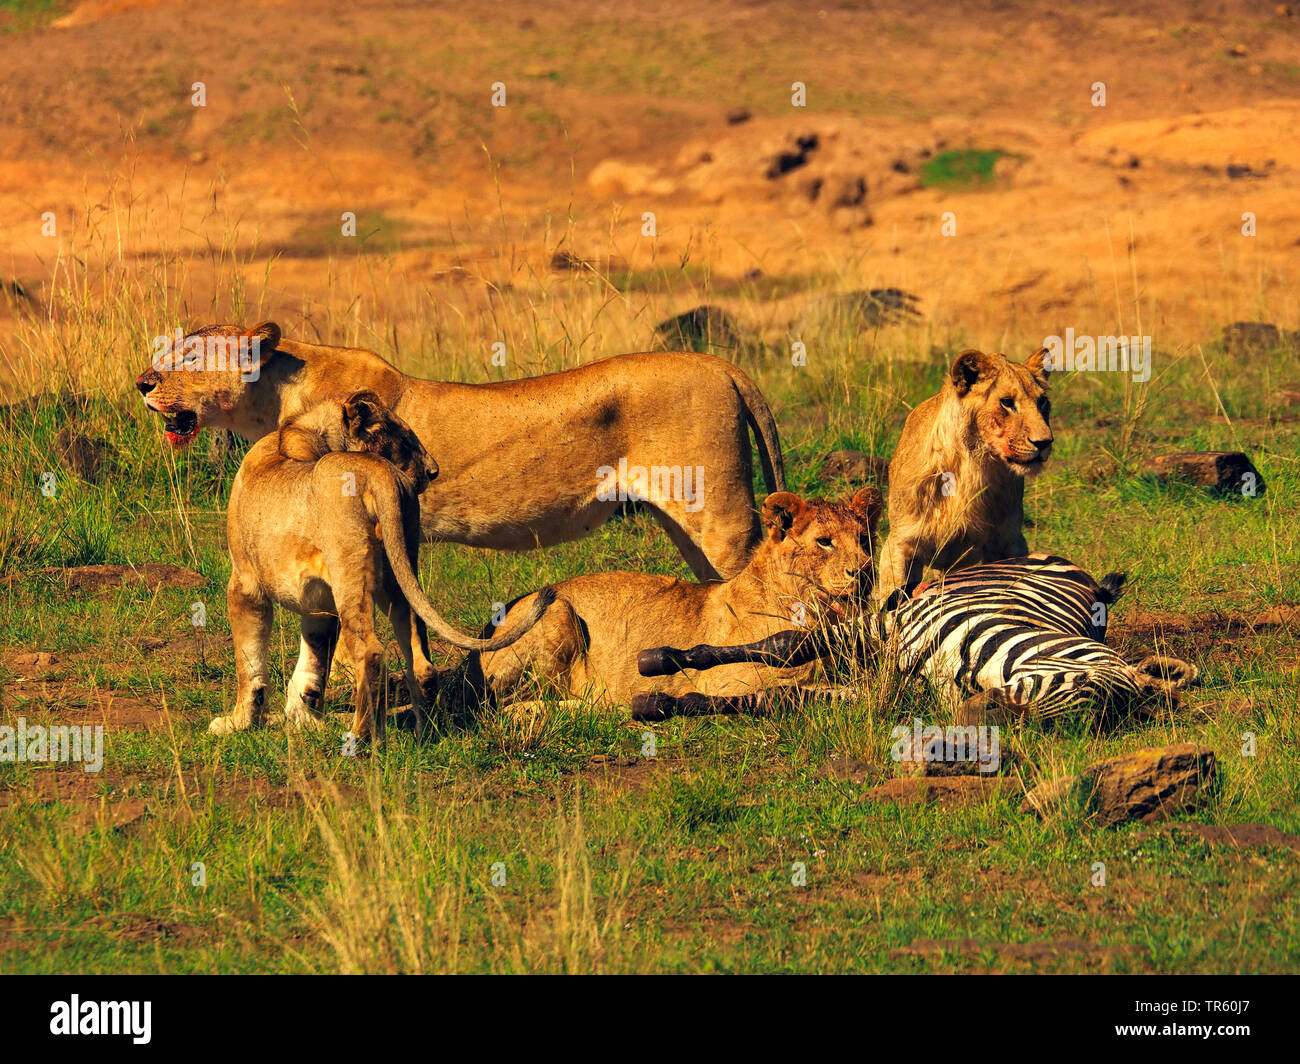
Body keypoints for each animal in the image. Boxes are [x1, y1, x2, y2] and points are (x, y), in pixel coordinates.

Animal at [214, 390, 554, 743]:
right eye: (405, 439)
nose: (433, 472)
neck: (303, 434)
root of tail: (378, 472)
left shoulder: (244, 583)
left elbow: (249, 664)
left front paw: (238, 722)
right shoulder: (319, 603)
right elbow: (313, 661)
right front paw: (304, 718)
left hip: (351, 575)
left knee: (371, 652)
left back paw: (360, 738)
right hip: (399, 572)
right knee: (421, 660)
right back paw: (424, 732)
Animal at [451, 487, 882, 716]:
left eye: (864, 539)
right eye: (824, 542)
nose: (863, 572)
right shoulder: (726, 682)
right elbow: (796, 689)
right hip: (555, 608)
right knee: (506, 707)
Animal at [632, 554, 1197, 722]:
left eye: (1087, 724)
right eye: (1080, 686)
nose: (980, 717)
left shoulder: (885, 695)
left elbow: (778, 697)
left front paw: (665, 703)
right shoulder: (878, 629)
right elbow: (783, 647)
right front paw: (662, 661)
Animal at [875, 348, 1052, 595]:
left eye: (1042, 401)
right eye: (1007, 402)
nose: (1045, 442)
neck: (973, 465)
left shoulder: (1008, 541)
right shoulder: (899, 544)